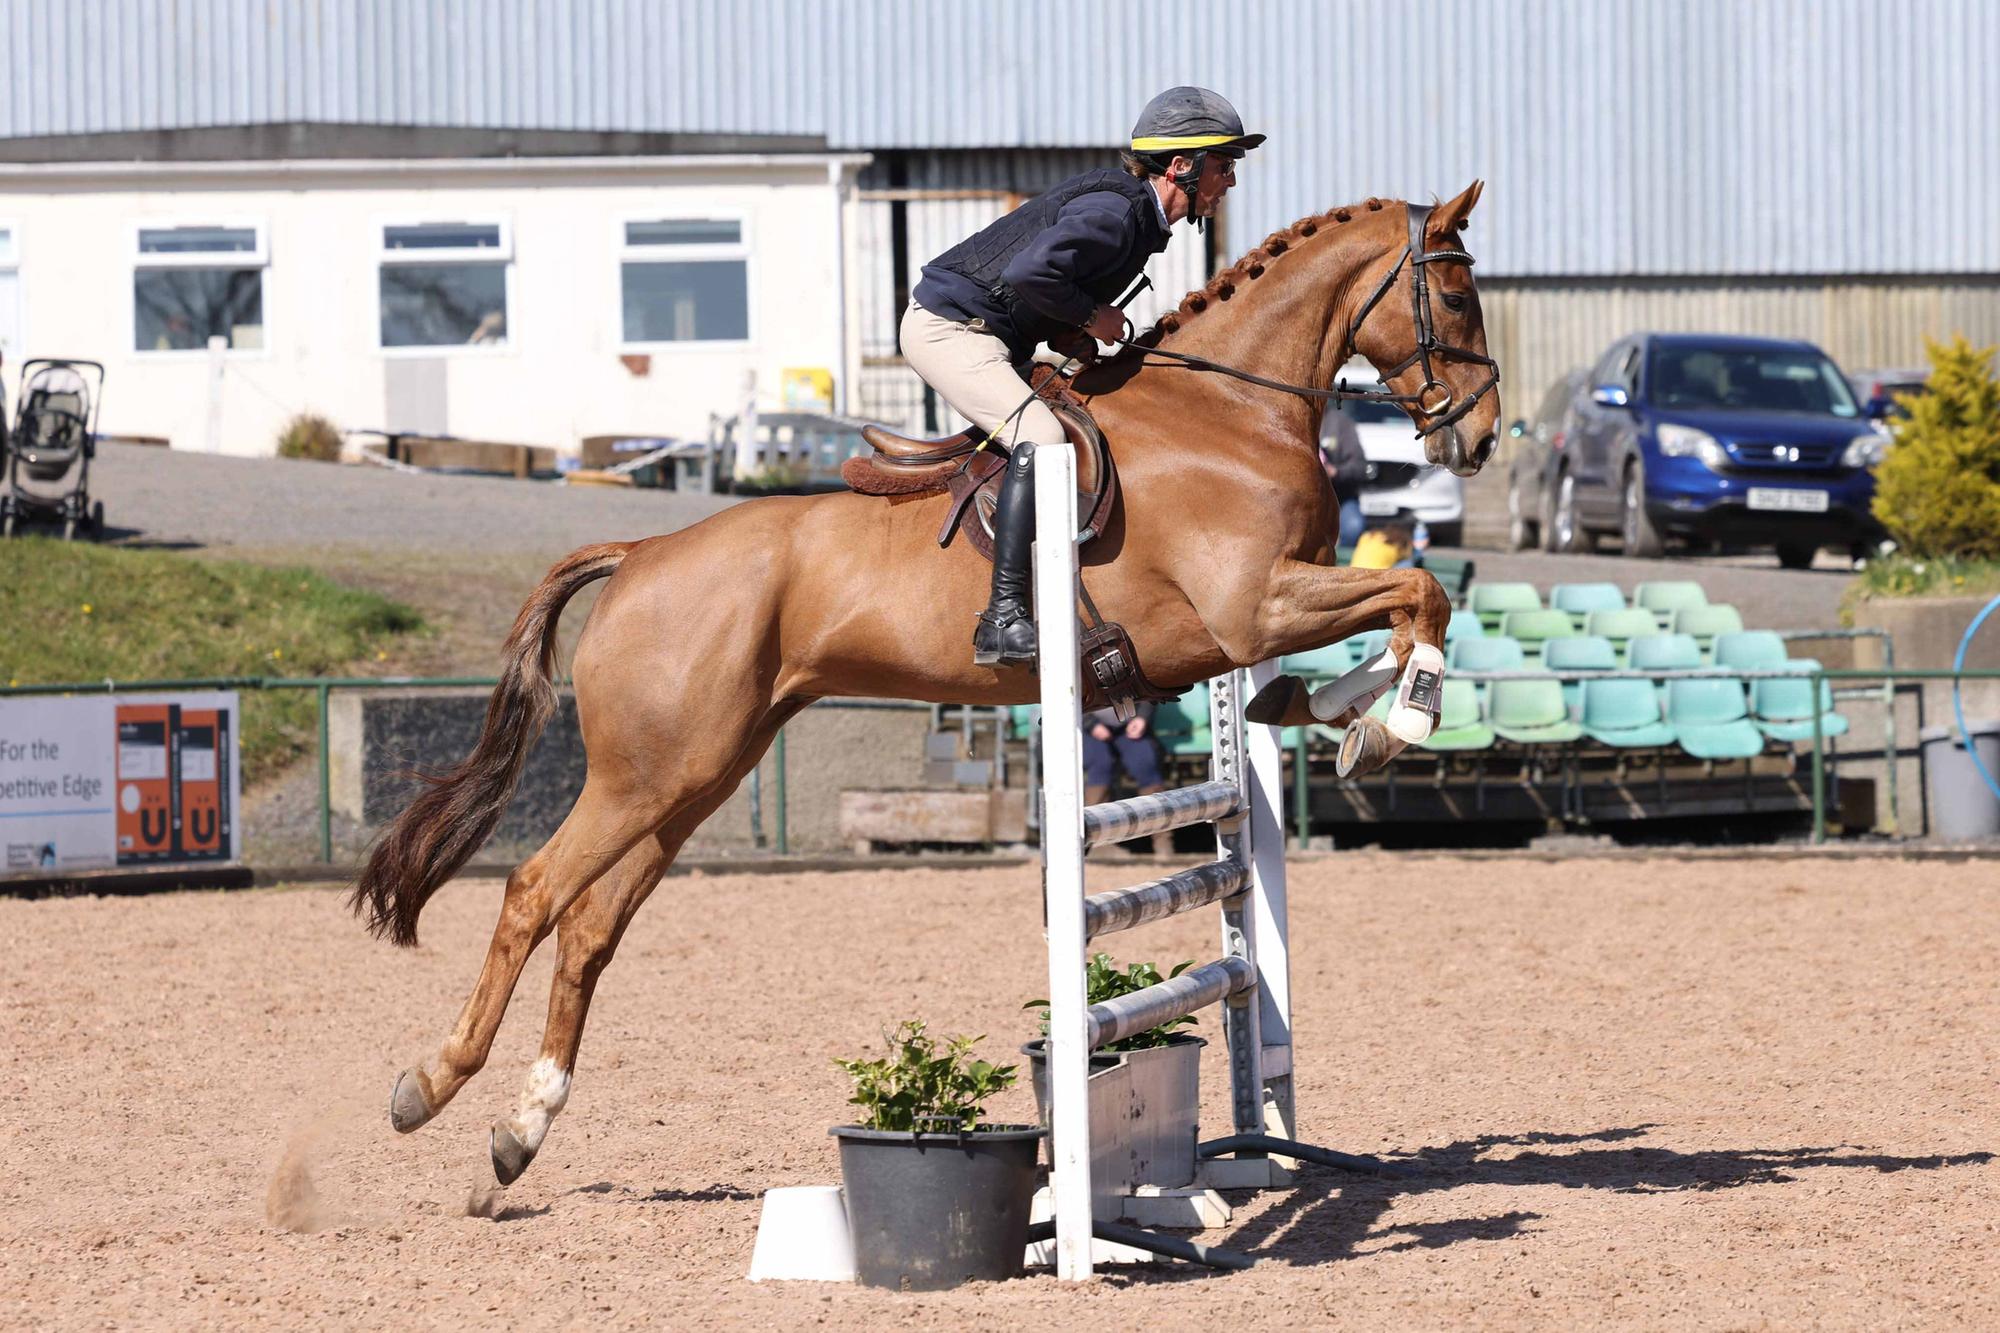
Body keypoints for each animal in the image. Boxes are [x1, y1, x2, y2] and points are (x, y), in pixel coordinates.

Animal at [352, 182, 1502, 1185]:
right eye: (1453, 294)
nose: (1478, 436)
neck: (1228, 408)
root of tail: (640, 553)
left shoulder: (1265, 608)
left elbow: (1403, 606)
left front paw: (1333, 716)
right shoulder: (1249, 606)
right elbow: (1420, 592)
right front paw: (1399, 721)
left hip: (695, 774)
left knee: (591, 924)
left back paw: (522, 1127)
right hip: (648, 772)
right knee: (533, 891)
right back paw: (429, 1084)